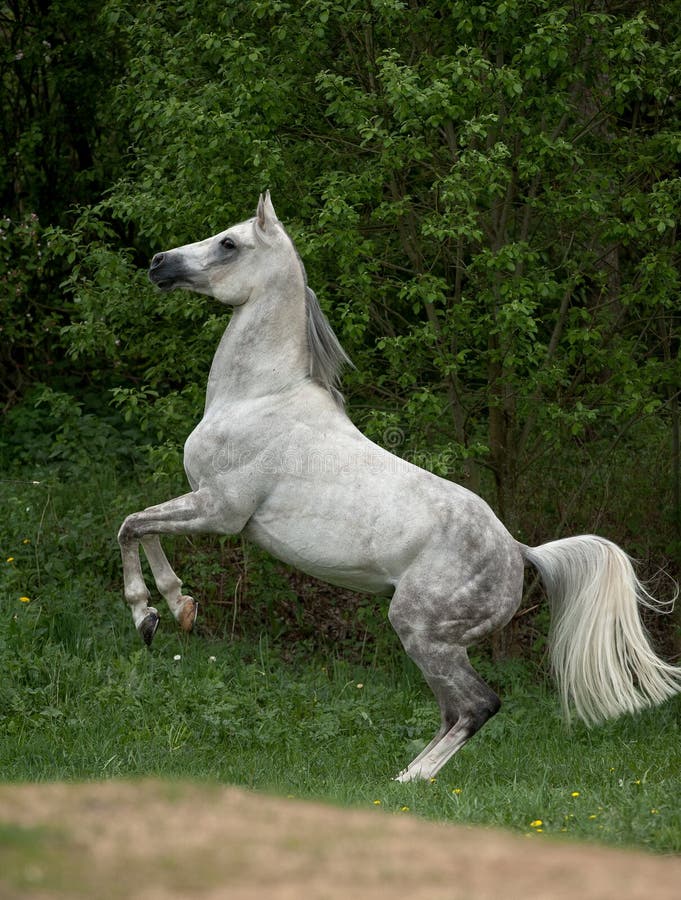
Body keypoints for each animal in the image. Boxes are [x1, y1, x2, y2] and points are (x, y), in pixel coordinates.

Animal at [118, 193, 681, 781]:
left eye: (229, 243)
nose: (158, 262)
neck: (259, 399)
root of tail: (519, 551)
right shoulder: (207, 508)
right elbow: (141, 527)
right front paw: (177, 610)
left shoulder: (219, 511)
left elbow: (131, 525)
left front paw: (151, 613)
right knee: (453, 710)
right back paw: (405, 775)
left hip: (422, 631)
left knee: (477, 705)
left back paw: (411, 782)